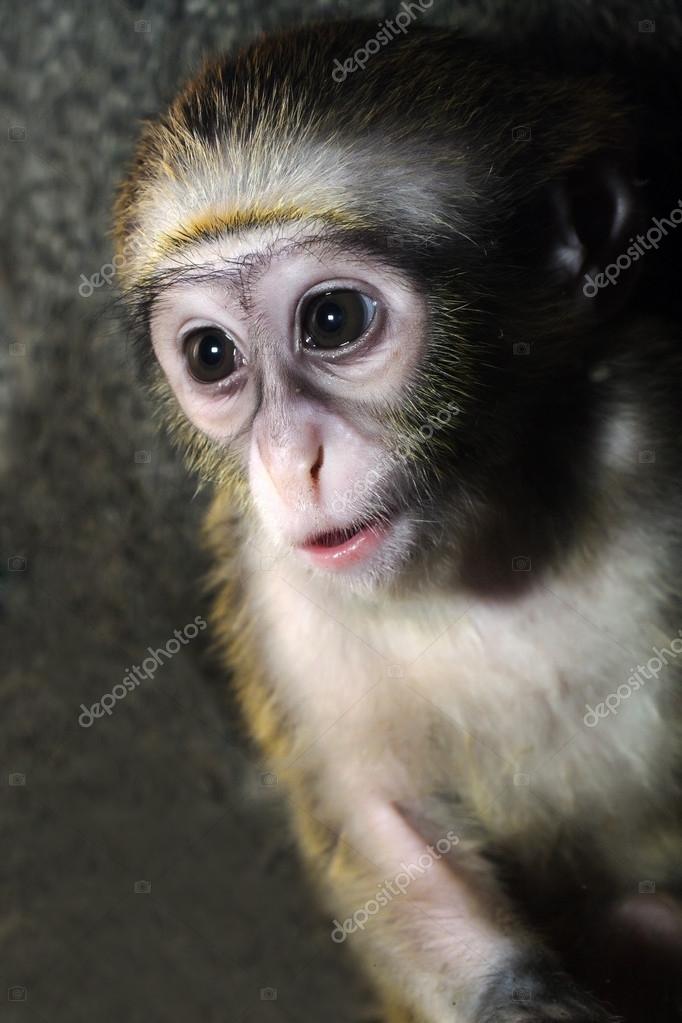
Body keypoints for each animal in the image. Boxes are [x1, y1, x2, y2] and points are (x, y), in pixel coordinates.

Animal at [113, 21, 682, 1023]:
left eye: (334, 319)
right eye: (212, 354)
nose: (288, 458)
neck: (498, 541)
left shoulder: (654, 422)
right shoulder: (271, 580)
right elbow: (374, 815)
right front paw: (523, 997)